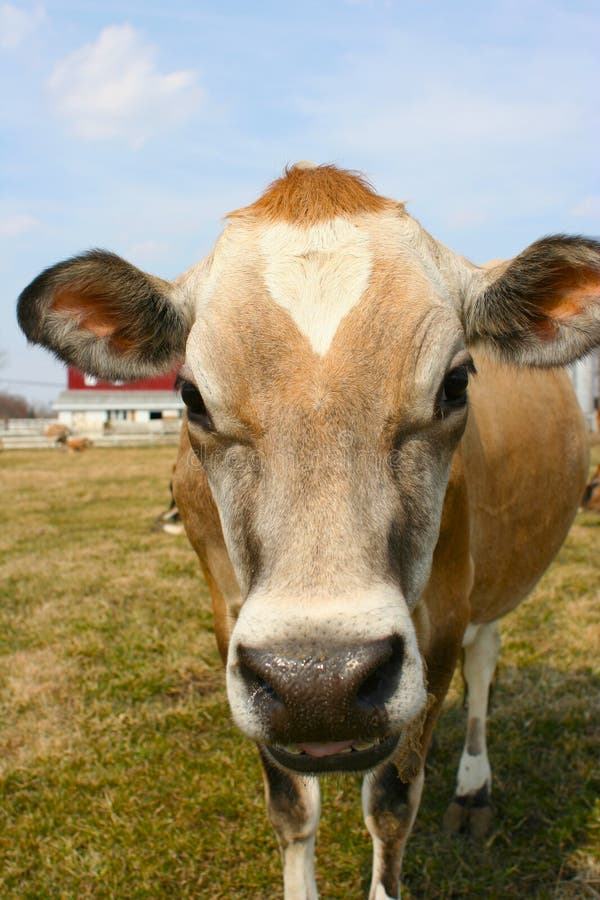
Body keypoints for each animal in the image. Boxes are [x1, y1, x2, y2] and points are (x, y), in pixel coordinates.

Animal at [17, 164, 600, 899]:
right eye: (190, 396)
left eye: (456, 382)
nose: (319, 682)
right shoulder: (230, 618)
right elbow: (291, 806)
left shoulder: (439, 619)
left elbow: (392, 803)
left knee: (485, 662)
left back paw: (473, 789)